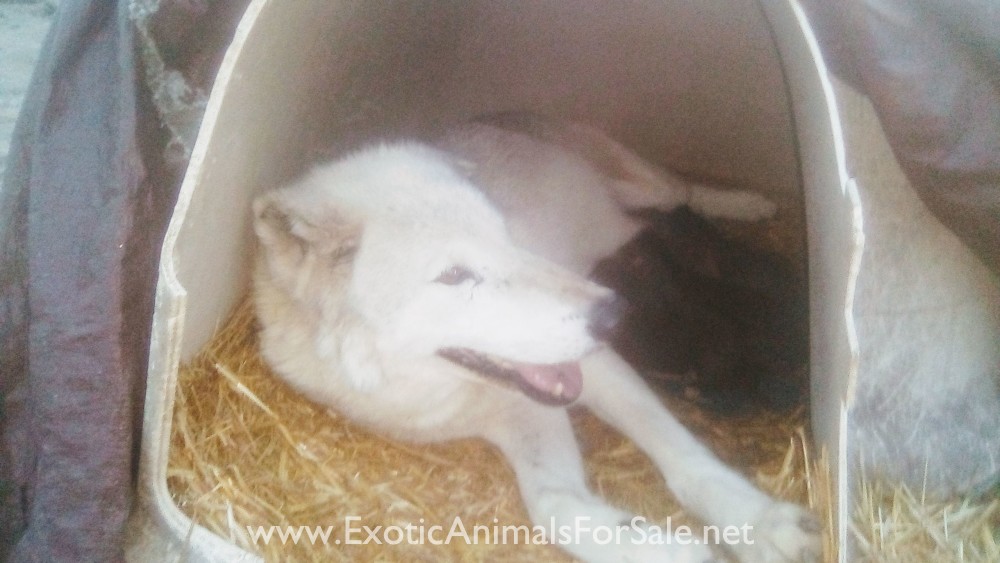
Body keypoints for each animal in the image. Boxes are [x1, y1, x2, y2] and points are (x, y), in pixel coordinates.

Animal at [252, 114, 821, 562]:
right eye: (454, 275)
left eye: (506, 236)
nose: (614, 314)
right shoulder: (525, 413)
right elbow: (554, 506)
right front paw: (656, 545)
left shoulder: (594, 366)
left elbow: (685, 457)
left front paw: (762, 526)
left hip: (643, 185)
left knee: (681, 192)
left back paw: (748, 203)